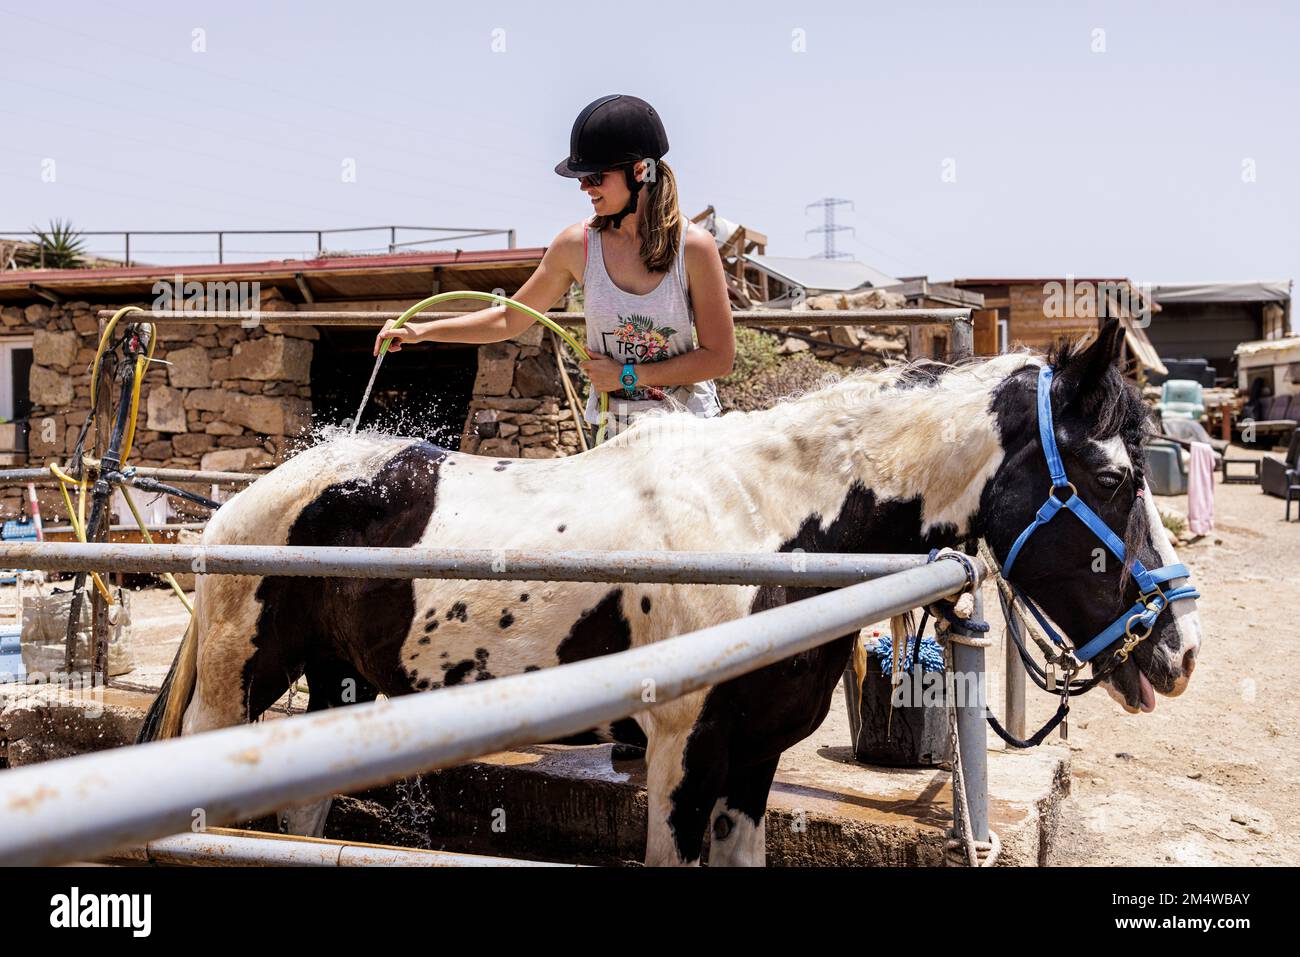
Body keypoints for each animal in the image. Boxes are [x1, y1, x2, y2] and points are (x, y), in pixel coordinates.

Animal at [138, 318, 1201, 866]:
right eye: (1113, 479)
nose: (1178, 652)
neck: (771, 529)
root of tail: (237, 511)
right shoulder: (682, 755)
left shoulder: (753, 761)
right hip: (234, 694)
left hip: (336, 692)